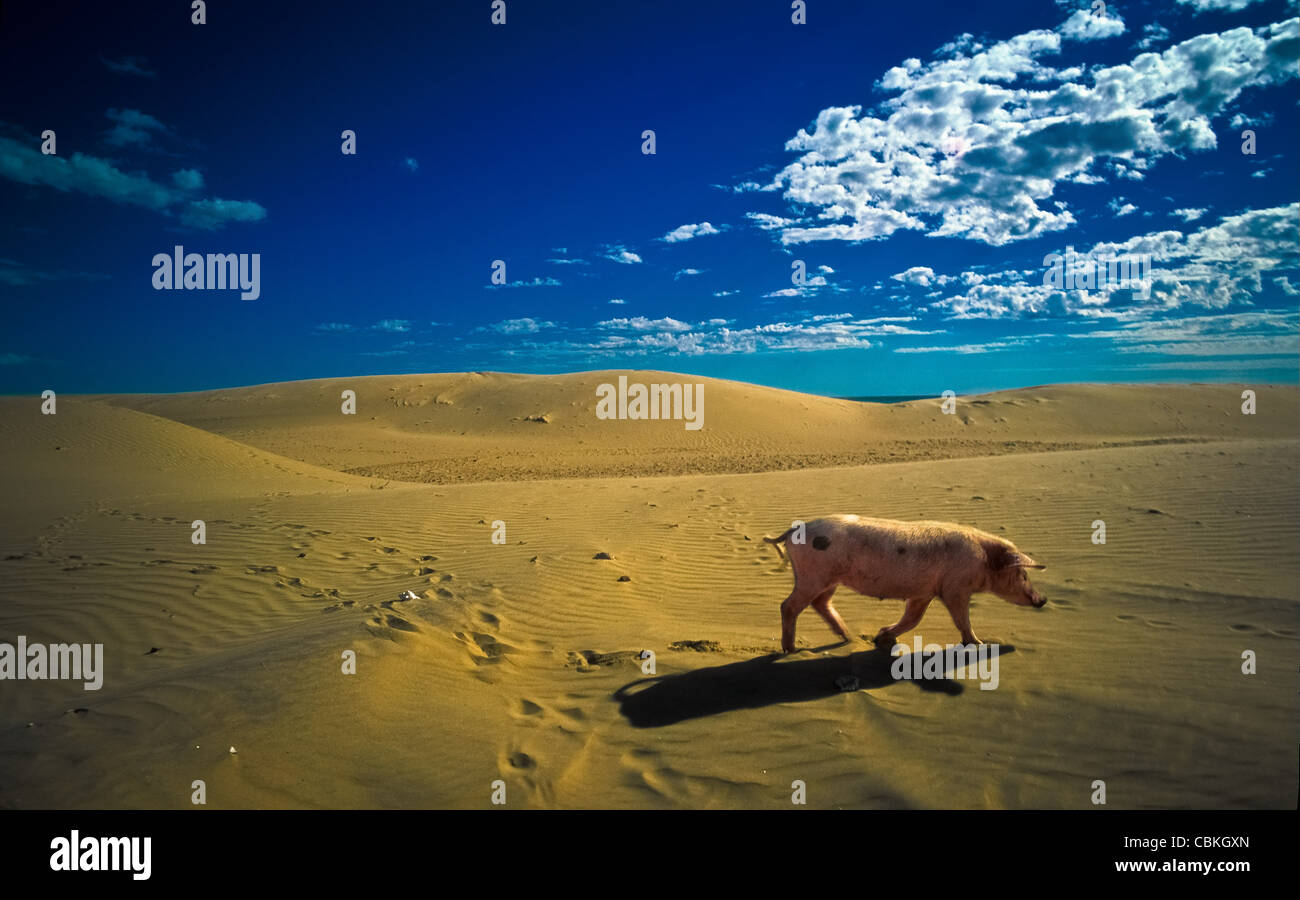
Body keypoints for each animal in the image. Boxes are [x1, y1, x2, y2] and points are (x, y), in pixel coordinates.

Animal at [763, 515, 1046, 652]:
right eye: (1023, 575)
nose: (1042, 599)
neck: (984, 559)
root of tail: (792, 531)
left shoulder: (924, 592)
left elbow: (913, 618)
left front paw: (882, 637)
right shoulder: (955, 587)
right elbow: (961, 618)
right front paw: (979, 644)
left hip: (828, 579)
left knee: (820, 603)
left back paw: (847, 636)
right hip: (813, 575)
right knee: (788, 605)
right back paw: (790, 650)